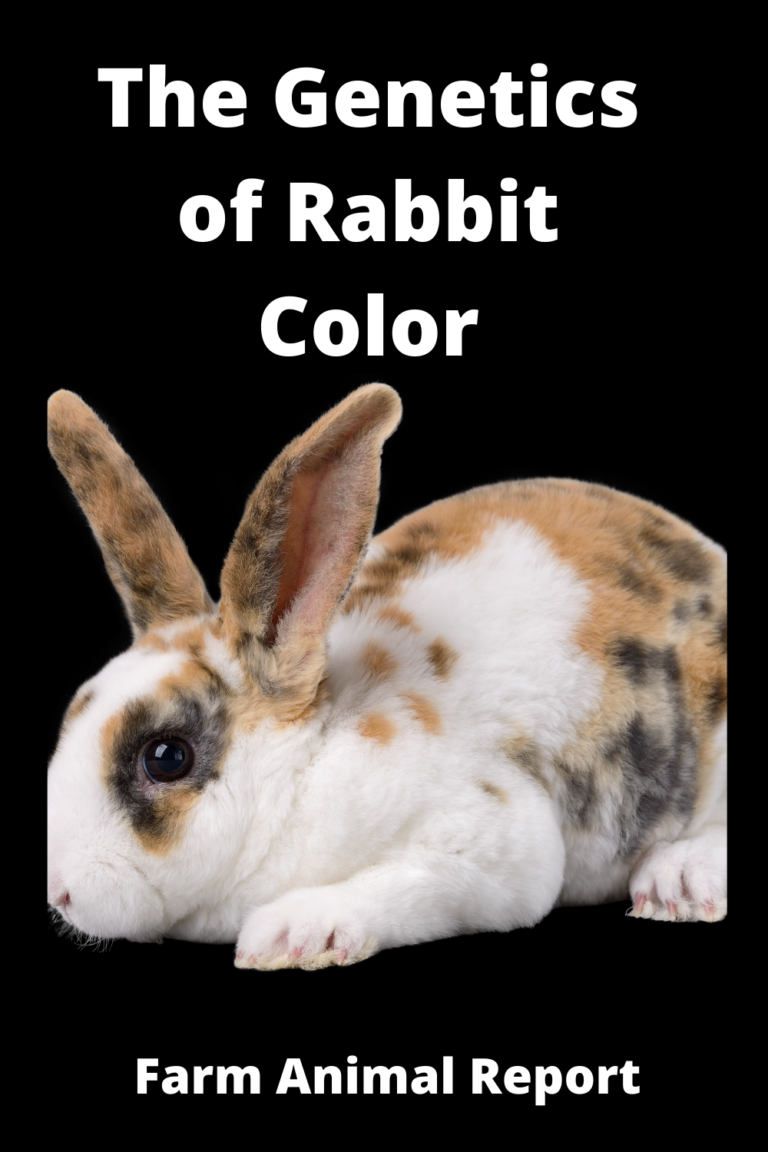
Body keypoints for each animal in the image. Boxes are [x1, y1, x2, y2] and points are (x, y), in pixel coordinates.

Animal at [46, 384, 727, 969]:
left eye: (166, 757)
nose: (59, 893)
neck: (307, 760)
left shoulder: (492, 846)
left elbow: (407, 883)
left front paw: (290, 934)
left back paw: (675, 882)